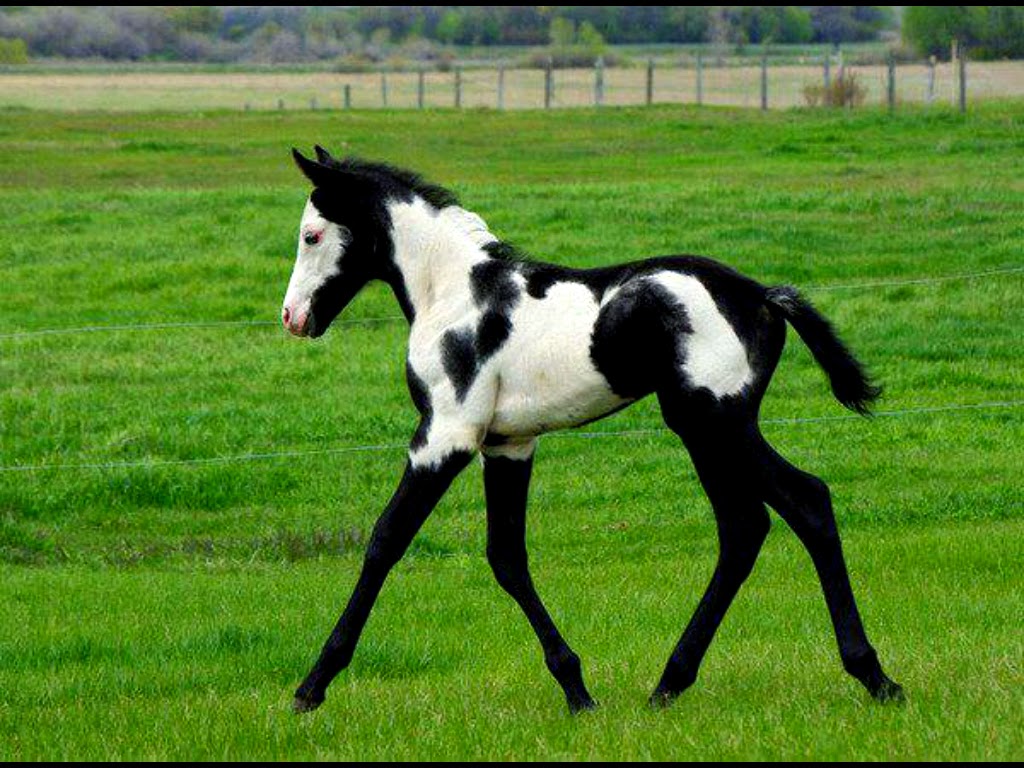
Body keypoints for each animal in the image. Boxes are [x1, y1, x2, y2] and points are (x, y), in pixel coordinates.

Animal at [281, 146, 903, 714]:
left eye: (311, 235)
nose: (292, 318)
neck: (457, 296)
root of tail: (761, 295)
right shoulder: (507, 445)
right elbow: (507, 557)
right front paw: (576, 689)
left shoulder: (445, 437)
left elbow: (385, 540)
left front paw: (312, 686)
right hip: (707, 432)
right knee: (745, 528)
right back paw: (671, 683)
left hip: (716, 422)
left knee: (804, 502)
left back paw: (873, 677)